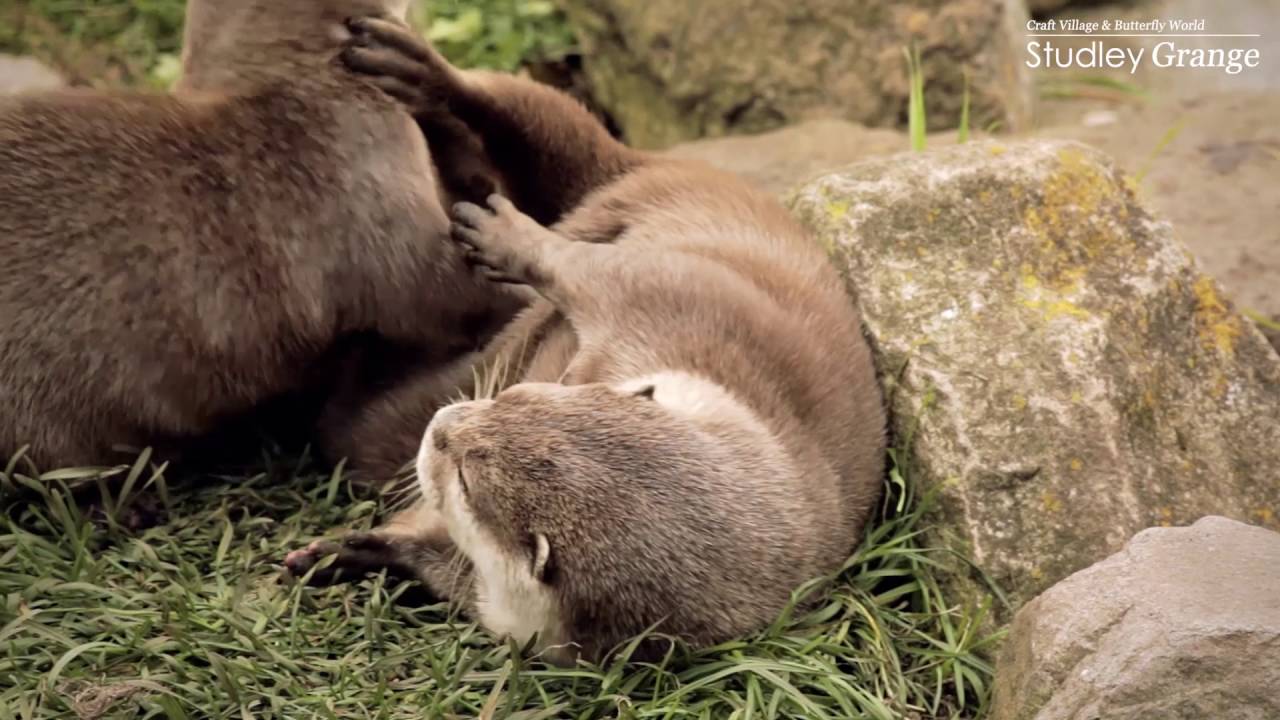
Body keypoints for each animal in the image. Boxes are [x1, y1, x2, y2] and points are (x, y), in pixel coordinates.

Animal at [286, 17, 886, 663]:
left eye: (468, 480)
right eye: (519, 397)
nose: (443, 425)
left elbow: (439, 559)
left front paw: (360, 552)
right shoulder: (666, 293)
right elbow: (571, 264)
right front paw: (508, 239)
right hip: (606, 161)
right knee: (520, 115)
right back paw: (411, 68)